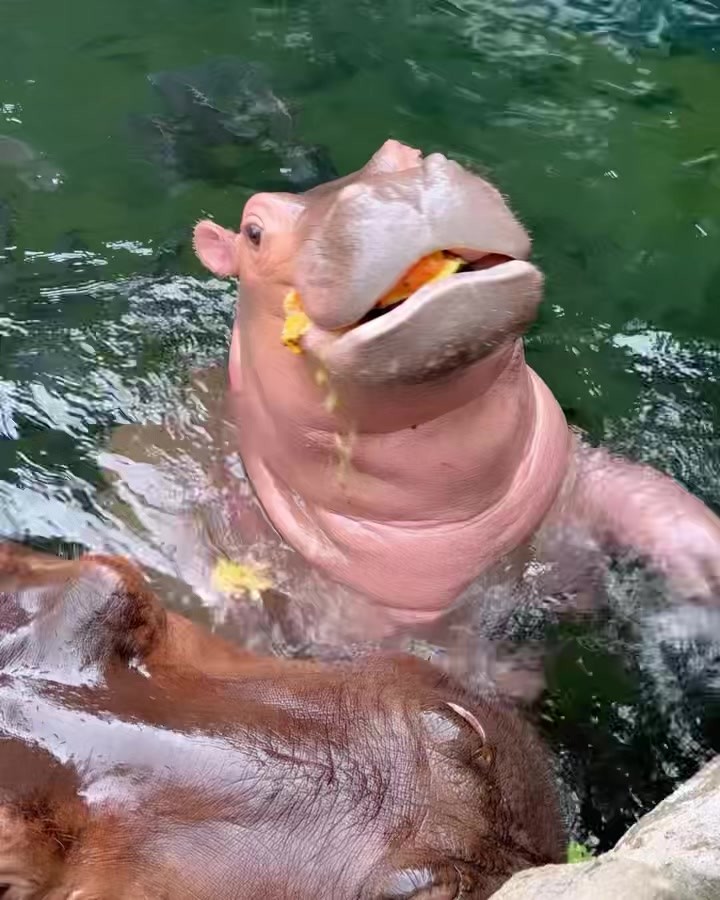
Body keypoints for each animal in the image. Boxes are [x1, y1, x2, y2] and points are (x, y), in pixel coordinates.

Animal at [182, 138, 720, 625]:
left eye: (406, 151)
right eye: (253, 230)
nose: (396, 188)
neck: (462, 512)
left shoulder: (577, 484)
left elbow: (668, 511)